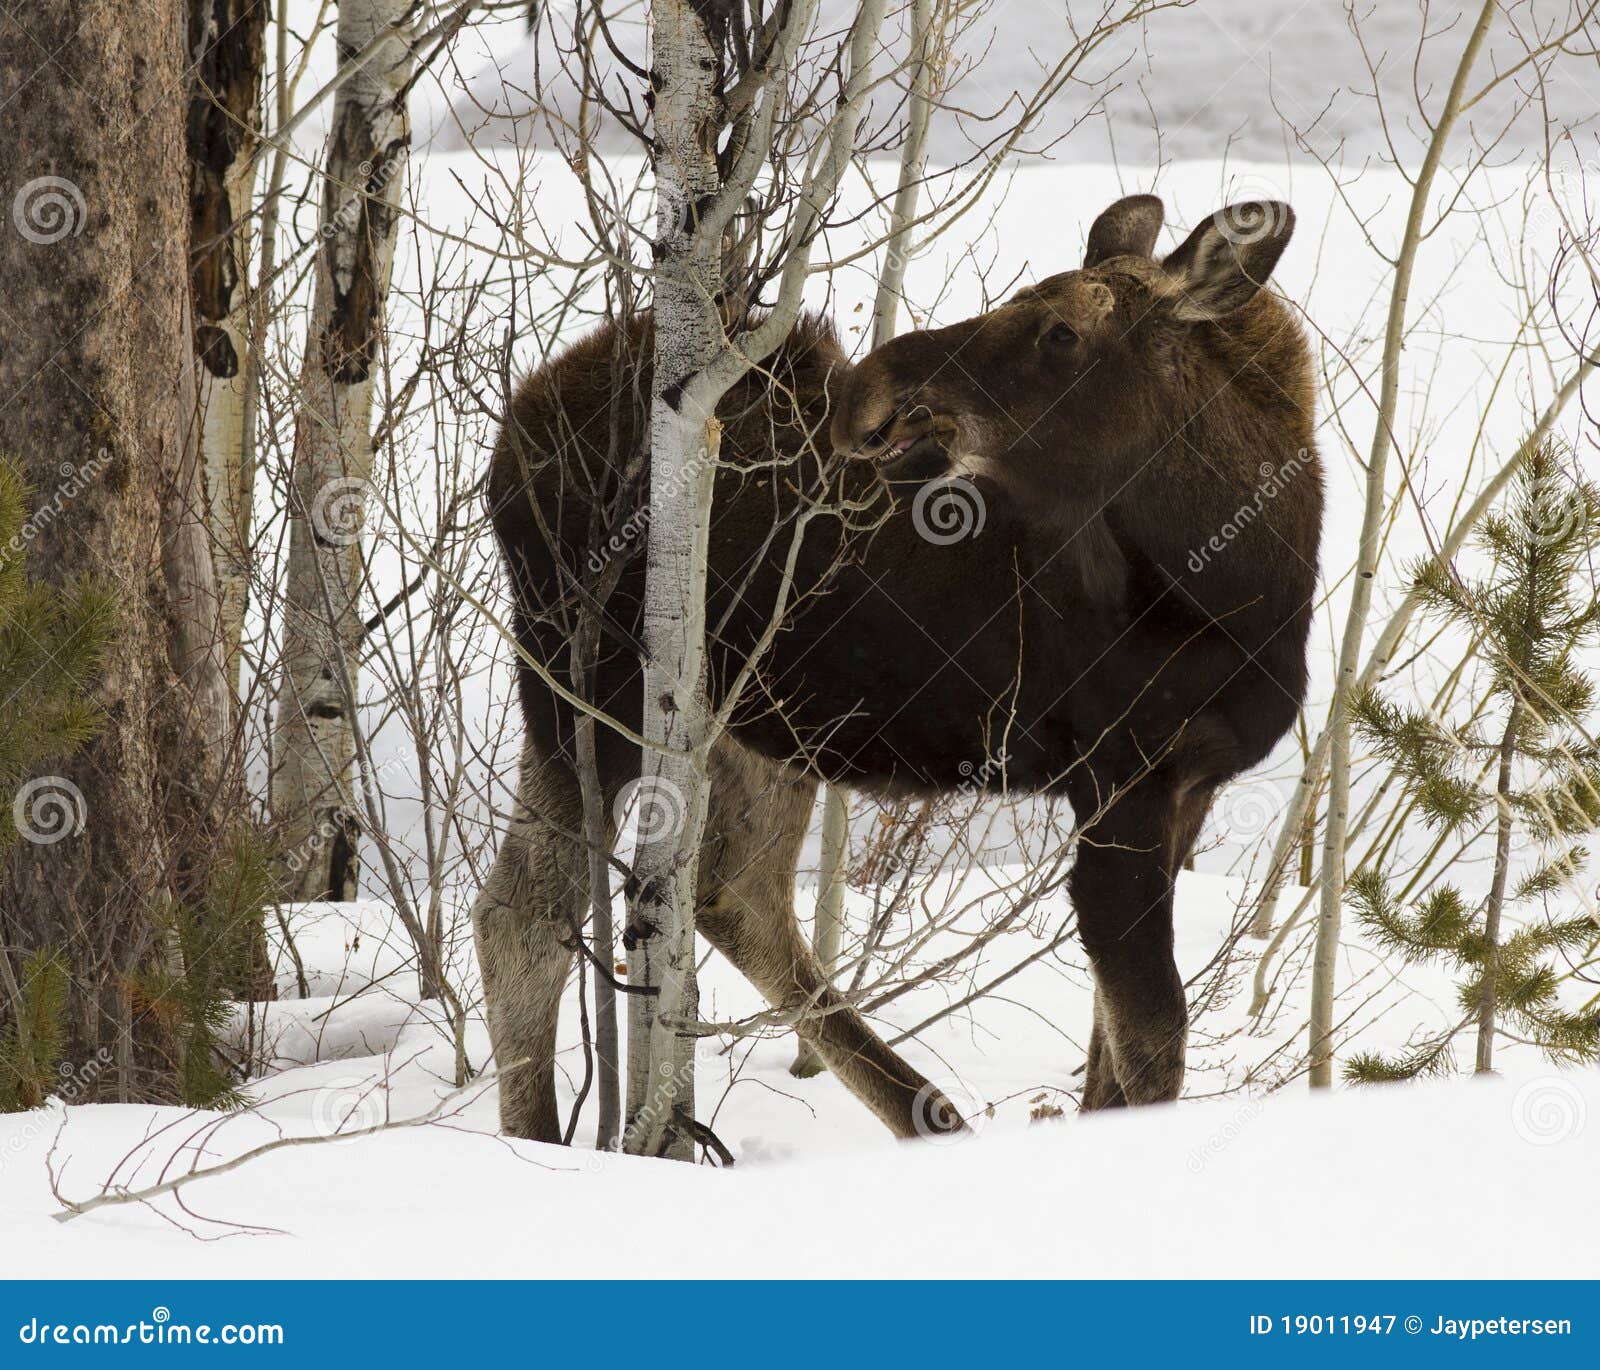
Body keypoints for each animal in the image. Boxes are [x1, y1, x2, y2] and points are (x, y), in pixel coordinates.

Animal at [474, 194, 1322, 1145]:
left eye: (1062, 331)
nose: (873, 389)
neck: (1242, 584)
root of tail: (518, 417)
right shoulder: (1118, 779)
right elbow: (1151, 1042)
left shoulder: (1188, 786)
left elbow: (1115, 1048)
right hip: (590, 684)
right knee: (524, 914)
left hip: (756, 719)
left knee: (735, 893)